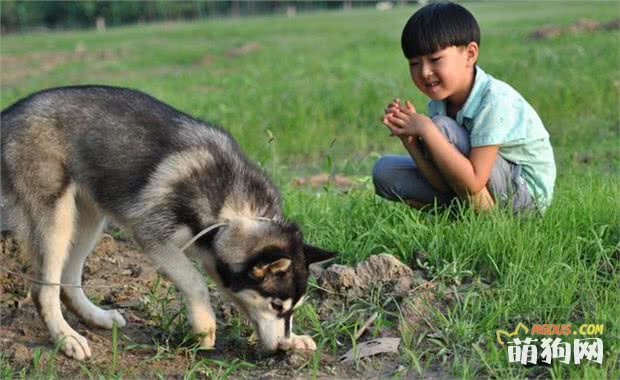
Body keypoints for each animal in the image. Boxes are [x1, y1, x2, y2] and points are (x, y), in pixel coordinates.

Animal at [1, 86, 334, 360]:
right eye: (276, 306)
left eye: (292, 309)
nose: (282, 347)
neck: (231, 211)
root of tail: (9, 113)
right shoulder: (152, 236)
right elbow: (195, 282)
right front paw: (204, 327)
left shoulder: (215, 257)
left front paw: (297, 338)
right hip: (56, 217)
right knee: (43, 290)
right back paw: (66, 337)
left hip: (88, 219)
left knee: (68, 281)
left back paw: (96, 318)